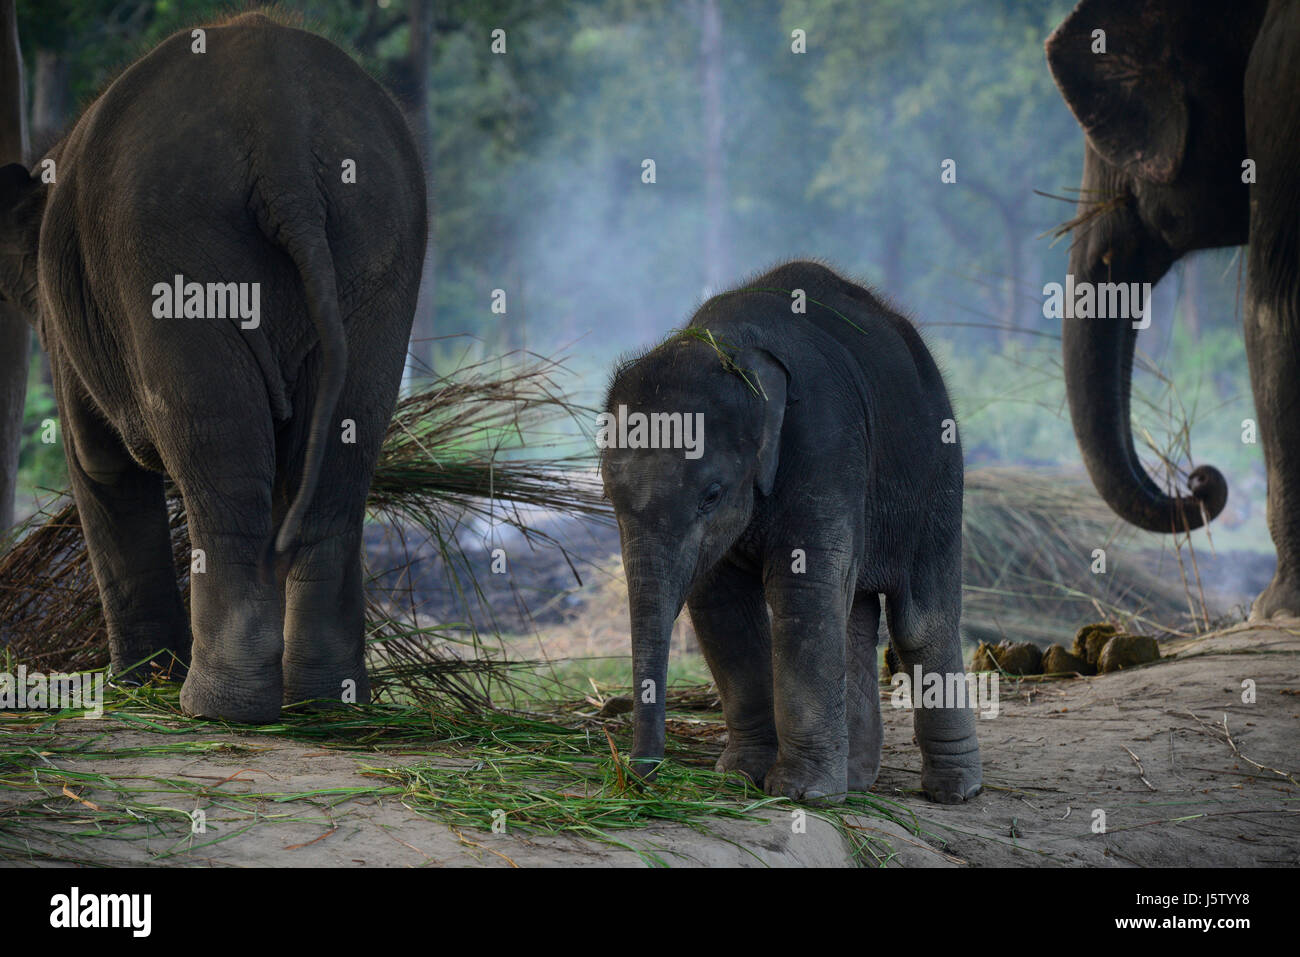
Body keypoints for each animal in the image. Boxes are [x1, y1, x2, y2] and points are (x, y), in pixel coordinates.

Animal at [0, 13, 426, 720]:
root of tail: (283, 141)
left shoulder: (68, 322)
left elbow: (98, 462)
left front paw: (135, 683)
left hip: (171, 260)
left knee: (219, 457)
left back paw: (213, 706)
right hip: (381, 252)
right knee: (339, 453)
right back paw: (326, 702)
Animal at [599, 261, 982, 804]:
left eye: (712, 494)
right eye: (608, 494)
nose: (636, 781)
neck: (728, 345)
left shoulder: (825, 439)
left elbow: (803, 588)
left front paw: (801, 793)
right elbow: (720, 603)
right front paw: (742, 775)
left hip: (939, 472)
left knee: (920, 622)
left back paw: (955, 791)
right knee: (853, 610)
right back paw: (856, 779)